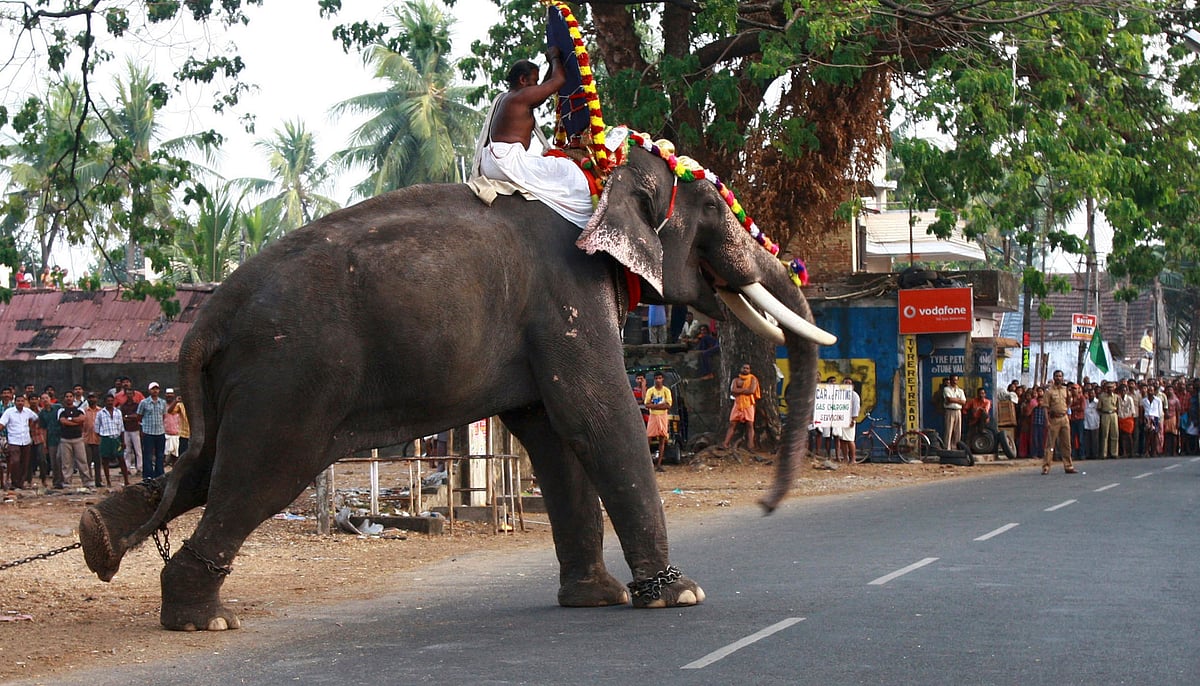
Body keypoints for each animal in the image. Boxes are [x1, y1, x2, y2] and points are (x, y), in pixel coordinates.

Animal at [78, 140, 834, 631]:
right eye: (713, 208)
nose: (767, 505)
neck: (595, 180)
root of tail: (207, 320)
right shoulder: (568, 296)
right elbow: (595, 417)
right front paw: (678, 598)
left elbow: (551, 435)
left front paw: (596, 599)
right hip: (291, 374)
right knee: (262, 473)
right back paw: (201, 619)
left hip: (248, 381)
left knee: (211, 465)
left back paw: (100, 541)